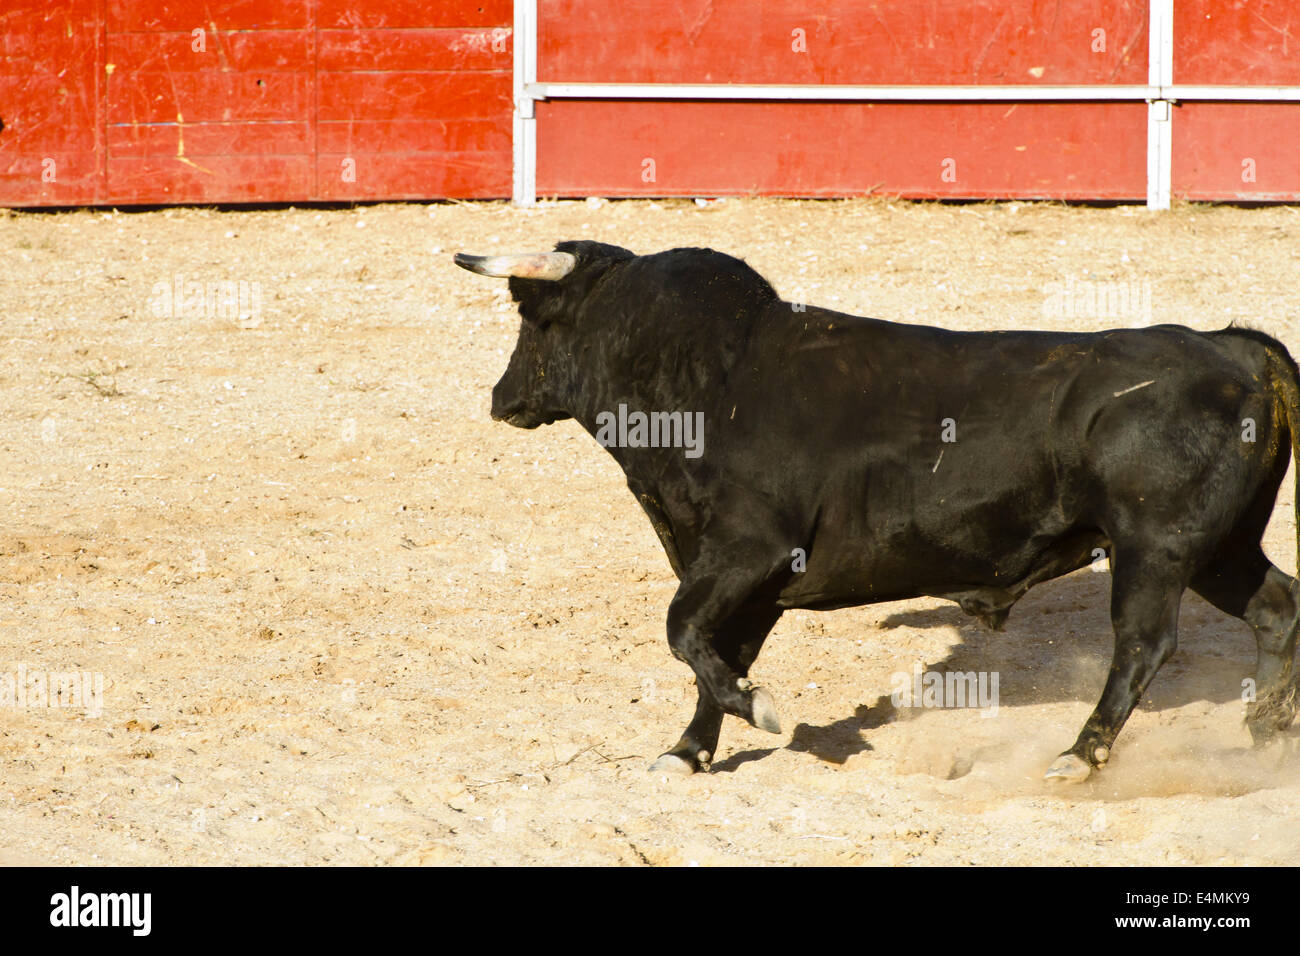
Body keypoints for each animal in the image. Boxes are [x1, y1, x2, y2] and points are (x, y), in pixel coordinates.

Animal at [455, 240, 1300, 783]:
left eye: (531, 316)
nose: (499, 398)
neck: (707, 379)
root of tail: (1234, 349)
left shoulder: (748, 553)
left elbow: (684, 632)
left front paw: (766, 716)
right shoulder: (749, 581)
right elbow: (714, 652)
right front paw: (688, 751)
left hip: (1156, 547)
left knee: (1144, 643)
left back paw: (1078, 755)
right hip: (1218, 549)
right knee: (1276, 608)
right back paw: (1263, 736)